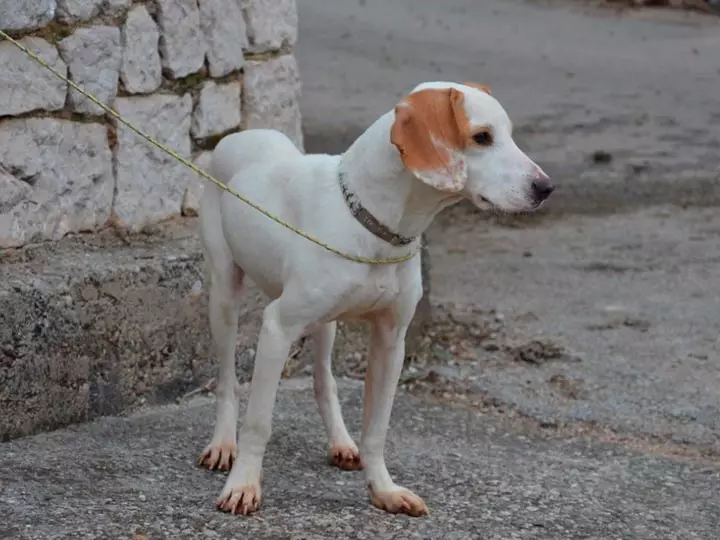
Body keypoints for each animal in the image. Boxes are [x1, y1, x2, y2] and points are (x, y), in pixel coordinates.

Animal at [197, 80, 552, 516]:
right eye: (482, 137)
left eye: (511, 133)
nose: (546, 188)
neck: (376, 226)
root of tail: (239, 135)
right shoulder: (277, 328)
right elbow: (258, 421)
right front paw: (244, 485)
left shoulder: (391, 340)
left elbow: (376, 430)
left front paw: (383, 490)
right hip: (224, 298)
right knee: (228, 382)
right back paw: (222, 443)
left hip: (325, 325)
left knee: (324, 381)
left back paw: (339, 441)